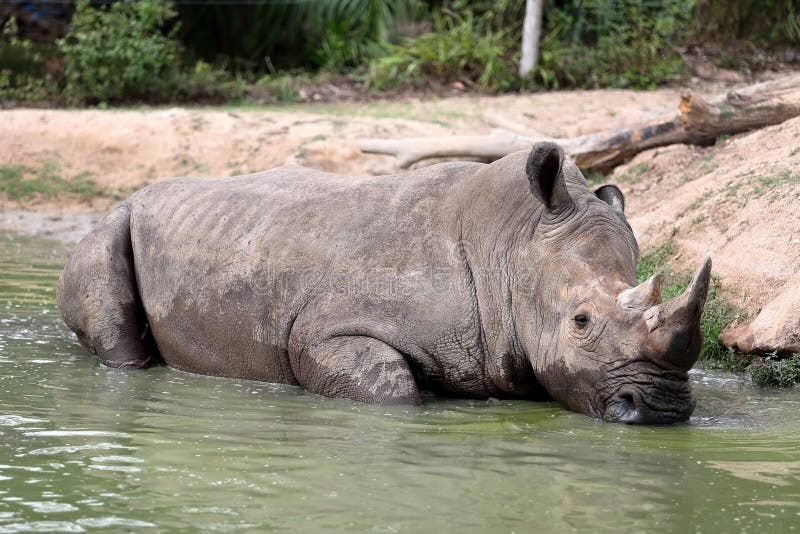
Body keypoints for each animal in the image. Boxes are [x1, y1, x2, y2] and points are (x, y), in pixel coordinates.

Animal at [57, 143, 711, 424]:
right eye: (581, 321)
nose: (662, 409)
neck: (512, 244)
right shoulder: (323, 330)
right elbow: (390, 389)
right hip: (113, 219)